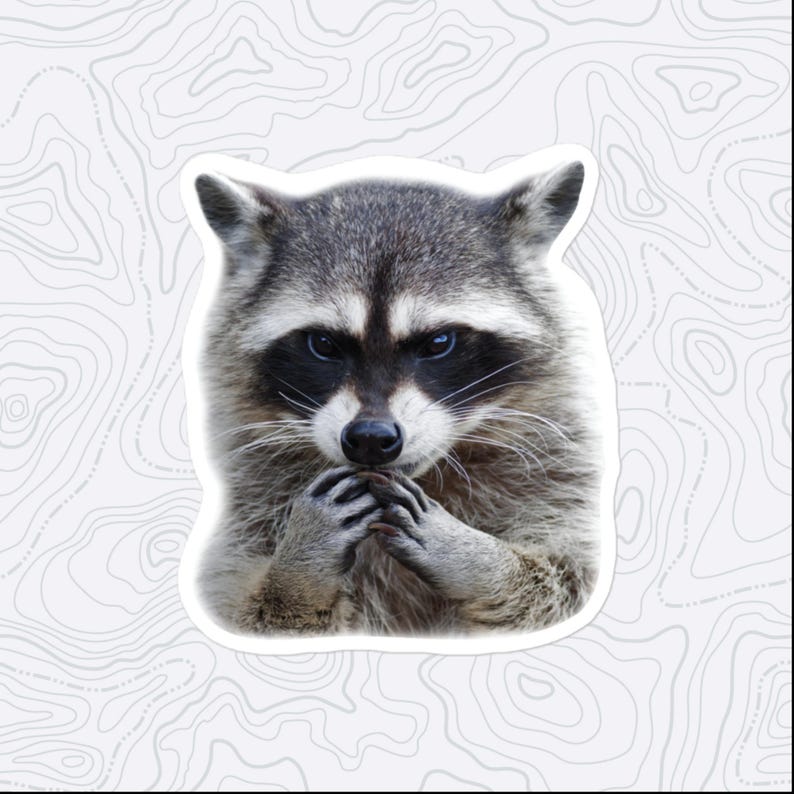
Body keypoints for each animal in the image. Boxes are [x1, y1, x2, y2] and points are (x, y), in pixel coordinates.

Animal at [190, 159, 606, 636]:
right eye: (323, 345)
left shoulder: (558, 476)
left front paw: (481, 562)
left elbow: (566, 582)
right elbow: (250, 612)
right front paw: (296, 575)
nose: (370, 438)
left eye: (439, 342)